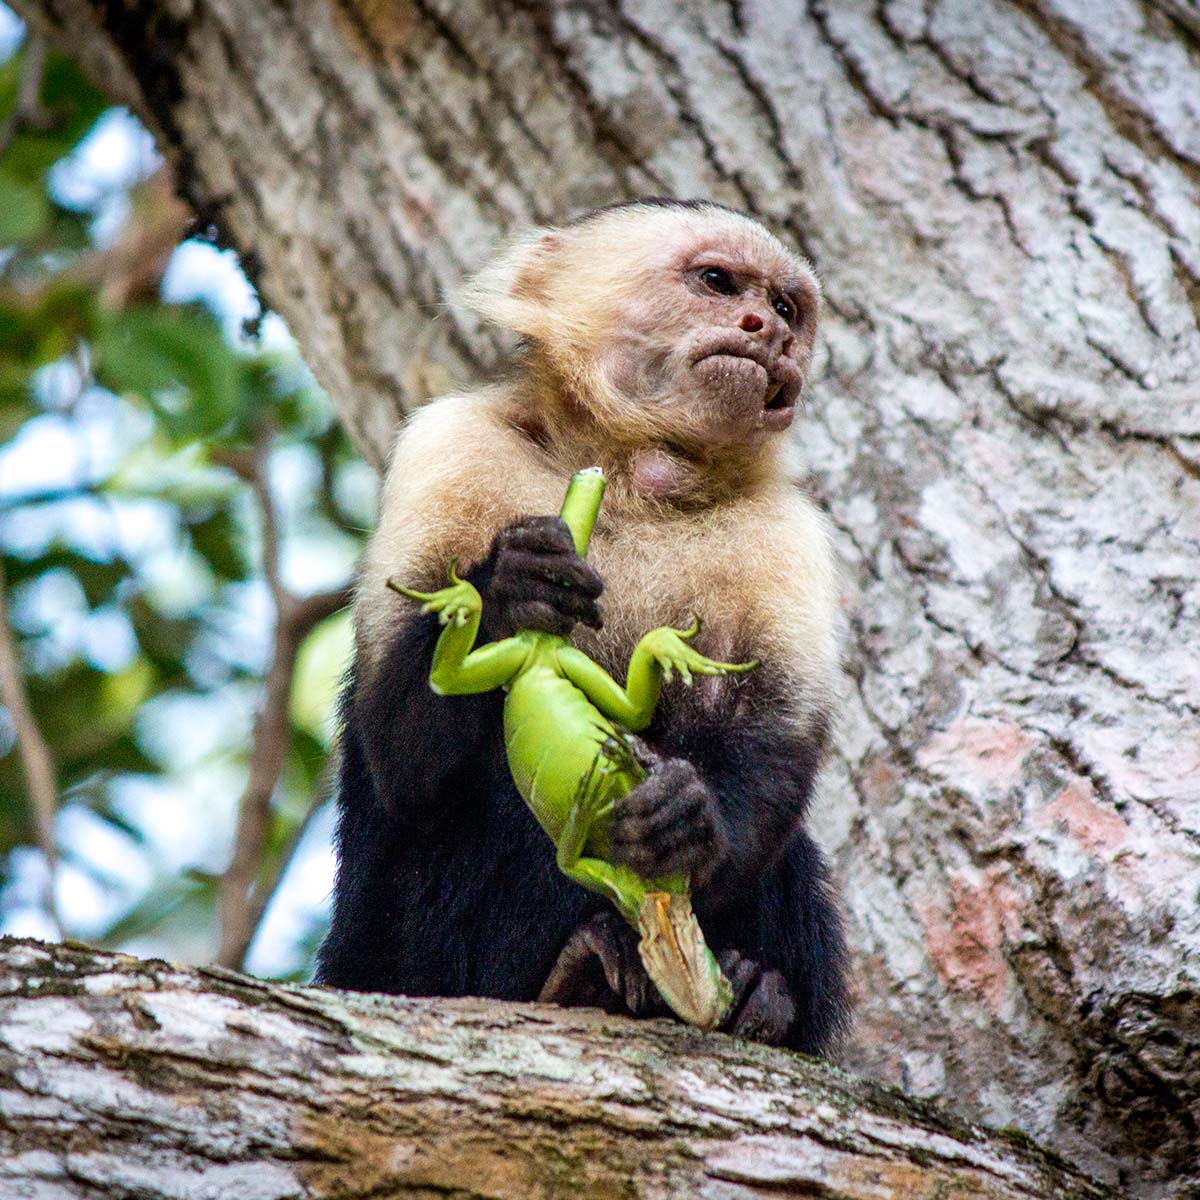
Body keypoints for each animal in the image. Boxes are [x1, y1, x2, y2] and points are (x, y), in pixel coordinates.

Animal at [314, 198, 850, 1055]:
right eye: (716, 281)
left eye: (789, 308)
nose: (766, 327)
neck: (632, 472)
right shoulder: (452, 445)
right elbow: (401, 752)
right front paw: (513, 590)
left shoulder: (787, 531)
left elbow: (772, 745)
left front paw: (691, 822)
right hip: (400, 955)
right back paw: (578, 970)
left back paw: (758, 994)